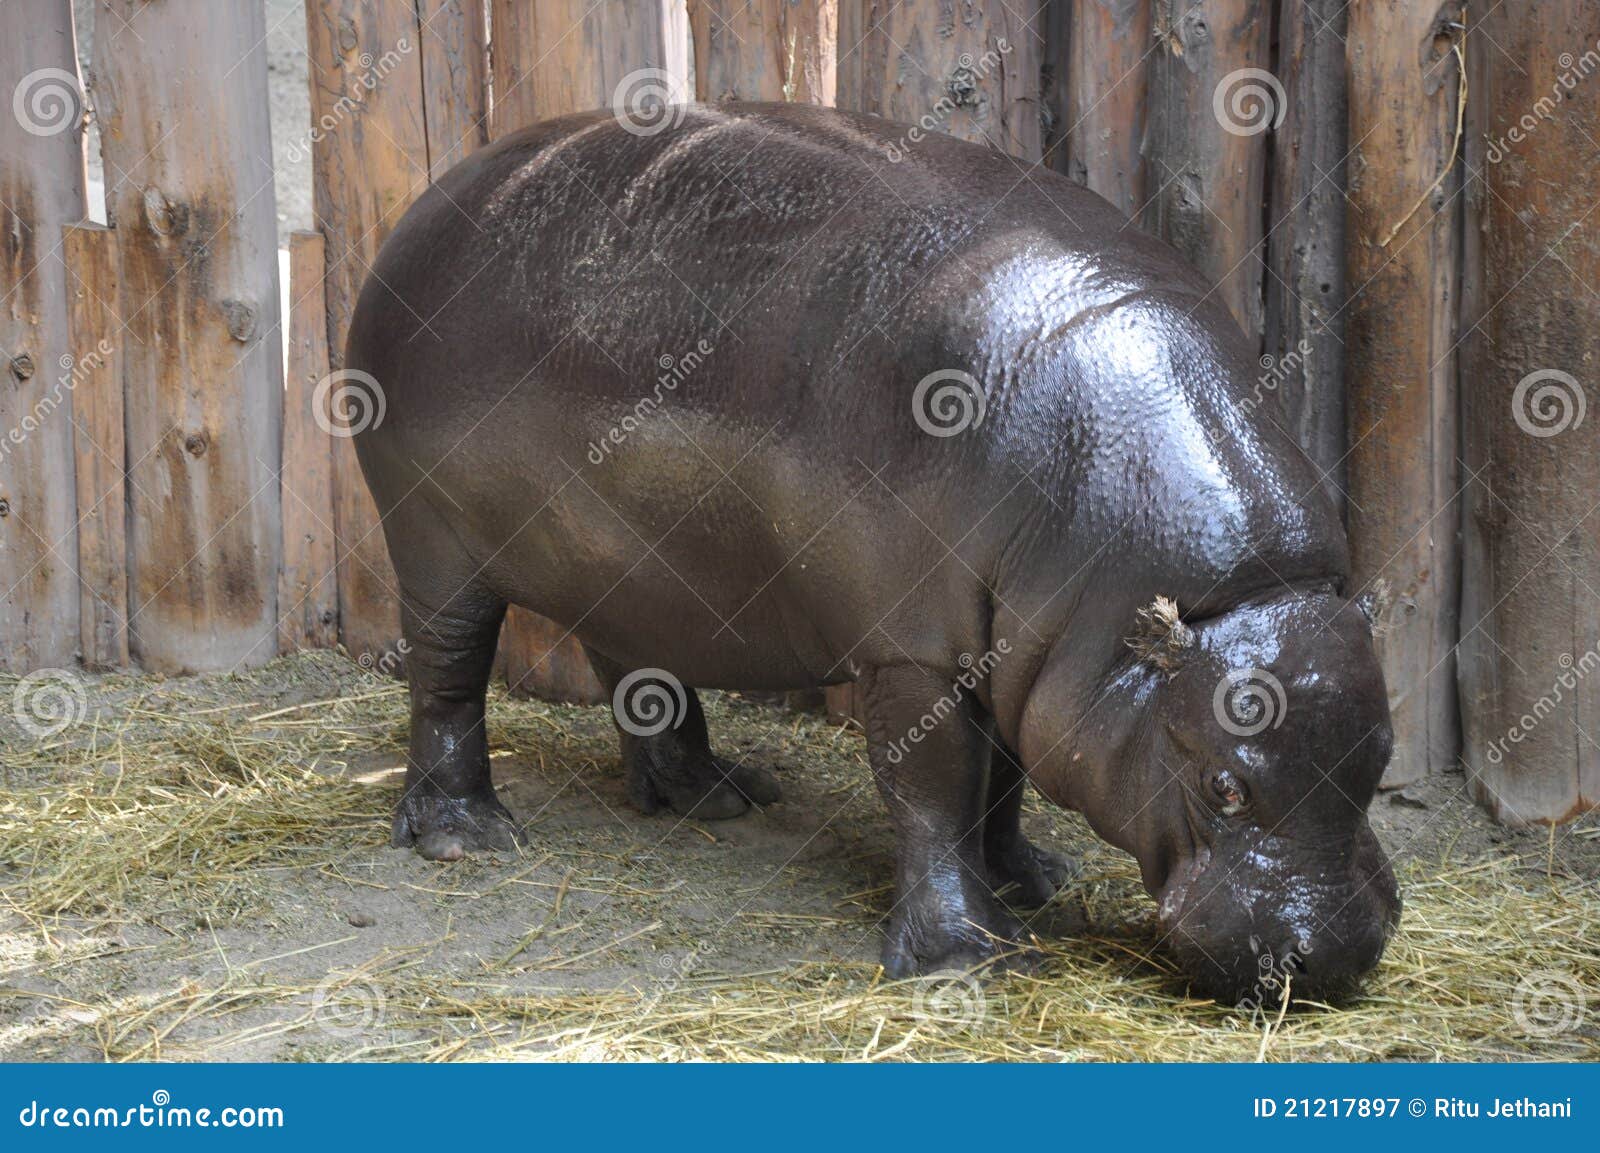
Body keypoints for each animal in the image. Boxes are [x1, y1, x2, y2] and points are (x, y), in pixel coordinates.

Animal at [344, 102, 1399, 1001]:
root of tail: (424, 207)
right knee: (447, 678)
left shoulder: (1016, 645)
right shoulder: (918, 650)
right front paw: (968, 955)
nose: (1334, 956)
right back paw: (467, 836)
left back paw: (718, 797)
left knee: (640, 672)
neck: (1230, 593)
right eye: (1225, 783)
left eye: (1381, 755)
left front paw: (1034, 877)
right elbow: (937, 787)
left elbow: (1003, 779)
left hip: (636, 566)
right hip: (433, 543)